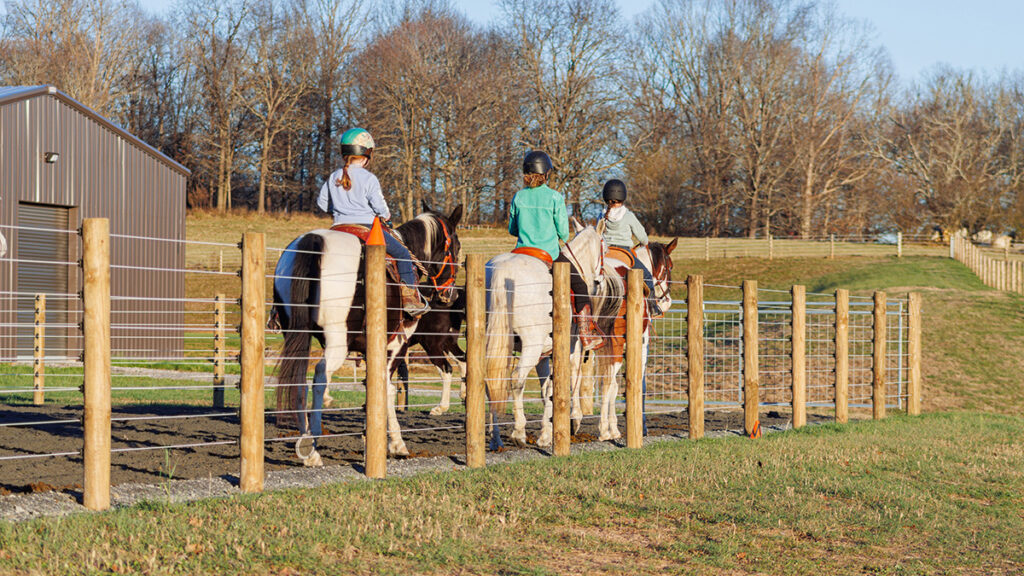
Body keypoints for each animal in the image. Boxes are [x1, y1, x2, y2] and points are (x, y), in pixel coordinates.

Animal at [272, 202, 462, 465]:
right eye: (456, 247)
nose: (450, 294)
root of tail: (313, 242)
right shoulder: (395, 345)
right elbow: (387, 388)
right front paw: (396, 444)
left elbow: (371, 385)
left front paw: (369, 435)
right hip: (344, 340)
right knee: (320, 376)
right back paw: (311, 448)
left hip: (297, 334)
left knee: (298, 379)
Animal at [484, 218, 606, 451]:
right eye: (606, 249)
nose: (599, 281)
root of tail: (501, 271)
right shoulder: (571, 350)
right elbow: (568, 381)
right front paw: (573, 420)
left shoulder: (544, 356)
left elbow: (546, 390)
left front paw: (547, 432)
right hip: (531, 345)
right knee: (516, 379)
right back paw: (518, 432)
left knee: (490, 382)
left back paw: (496, 439)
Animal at [591, 239, 677, 441]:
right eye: (669, 266)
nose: (667, 301)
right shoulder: (640, 343)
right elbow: (635, 383)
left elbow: (613, 385)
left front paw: (614, 427)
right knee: (607, 382)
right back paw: (603, 430)